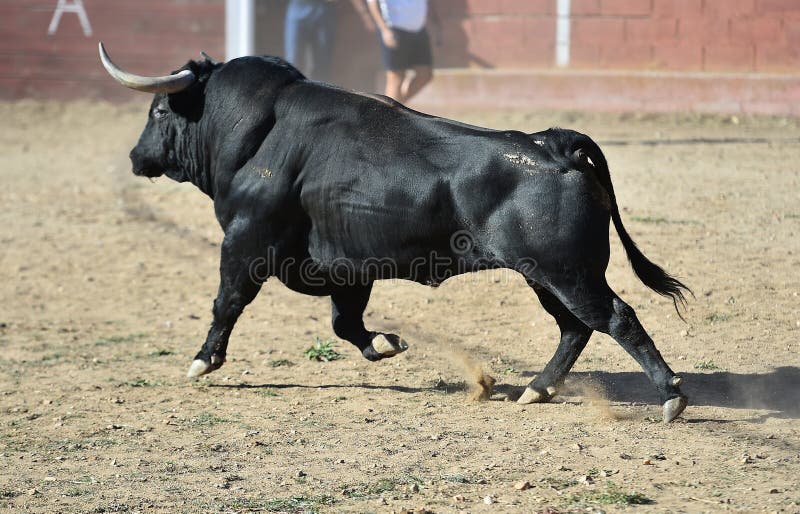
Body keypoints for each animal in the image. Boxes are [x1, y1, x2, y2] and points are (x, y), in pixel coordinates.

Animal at [99, 42, 691, 422]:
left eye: (158, 110)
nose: (133, 157)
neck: (258, 132)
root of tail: (554, 142)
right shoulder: (345, 265)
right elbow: (345, 322)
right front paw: (385, 343)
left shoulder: (244, 242)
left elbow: (227, 302)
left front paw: (203, 360)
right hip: (544, 276)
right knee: (575, 328)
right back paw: (536, 390)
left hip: (567, 272)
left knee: (613, 317)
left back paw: (670, 396)